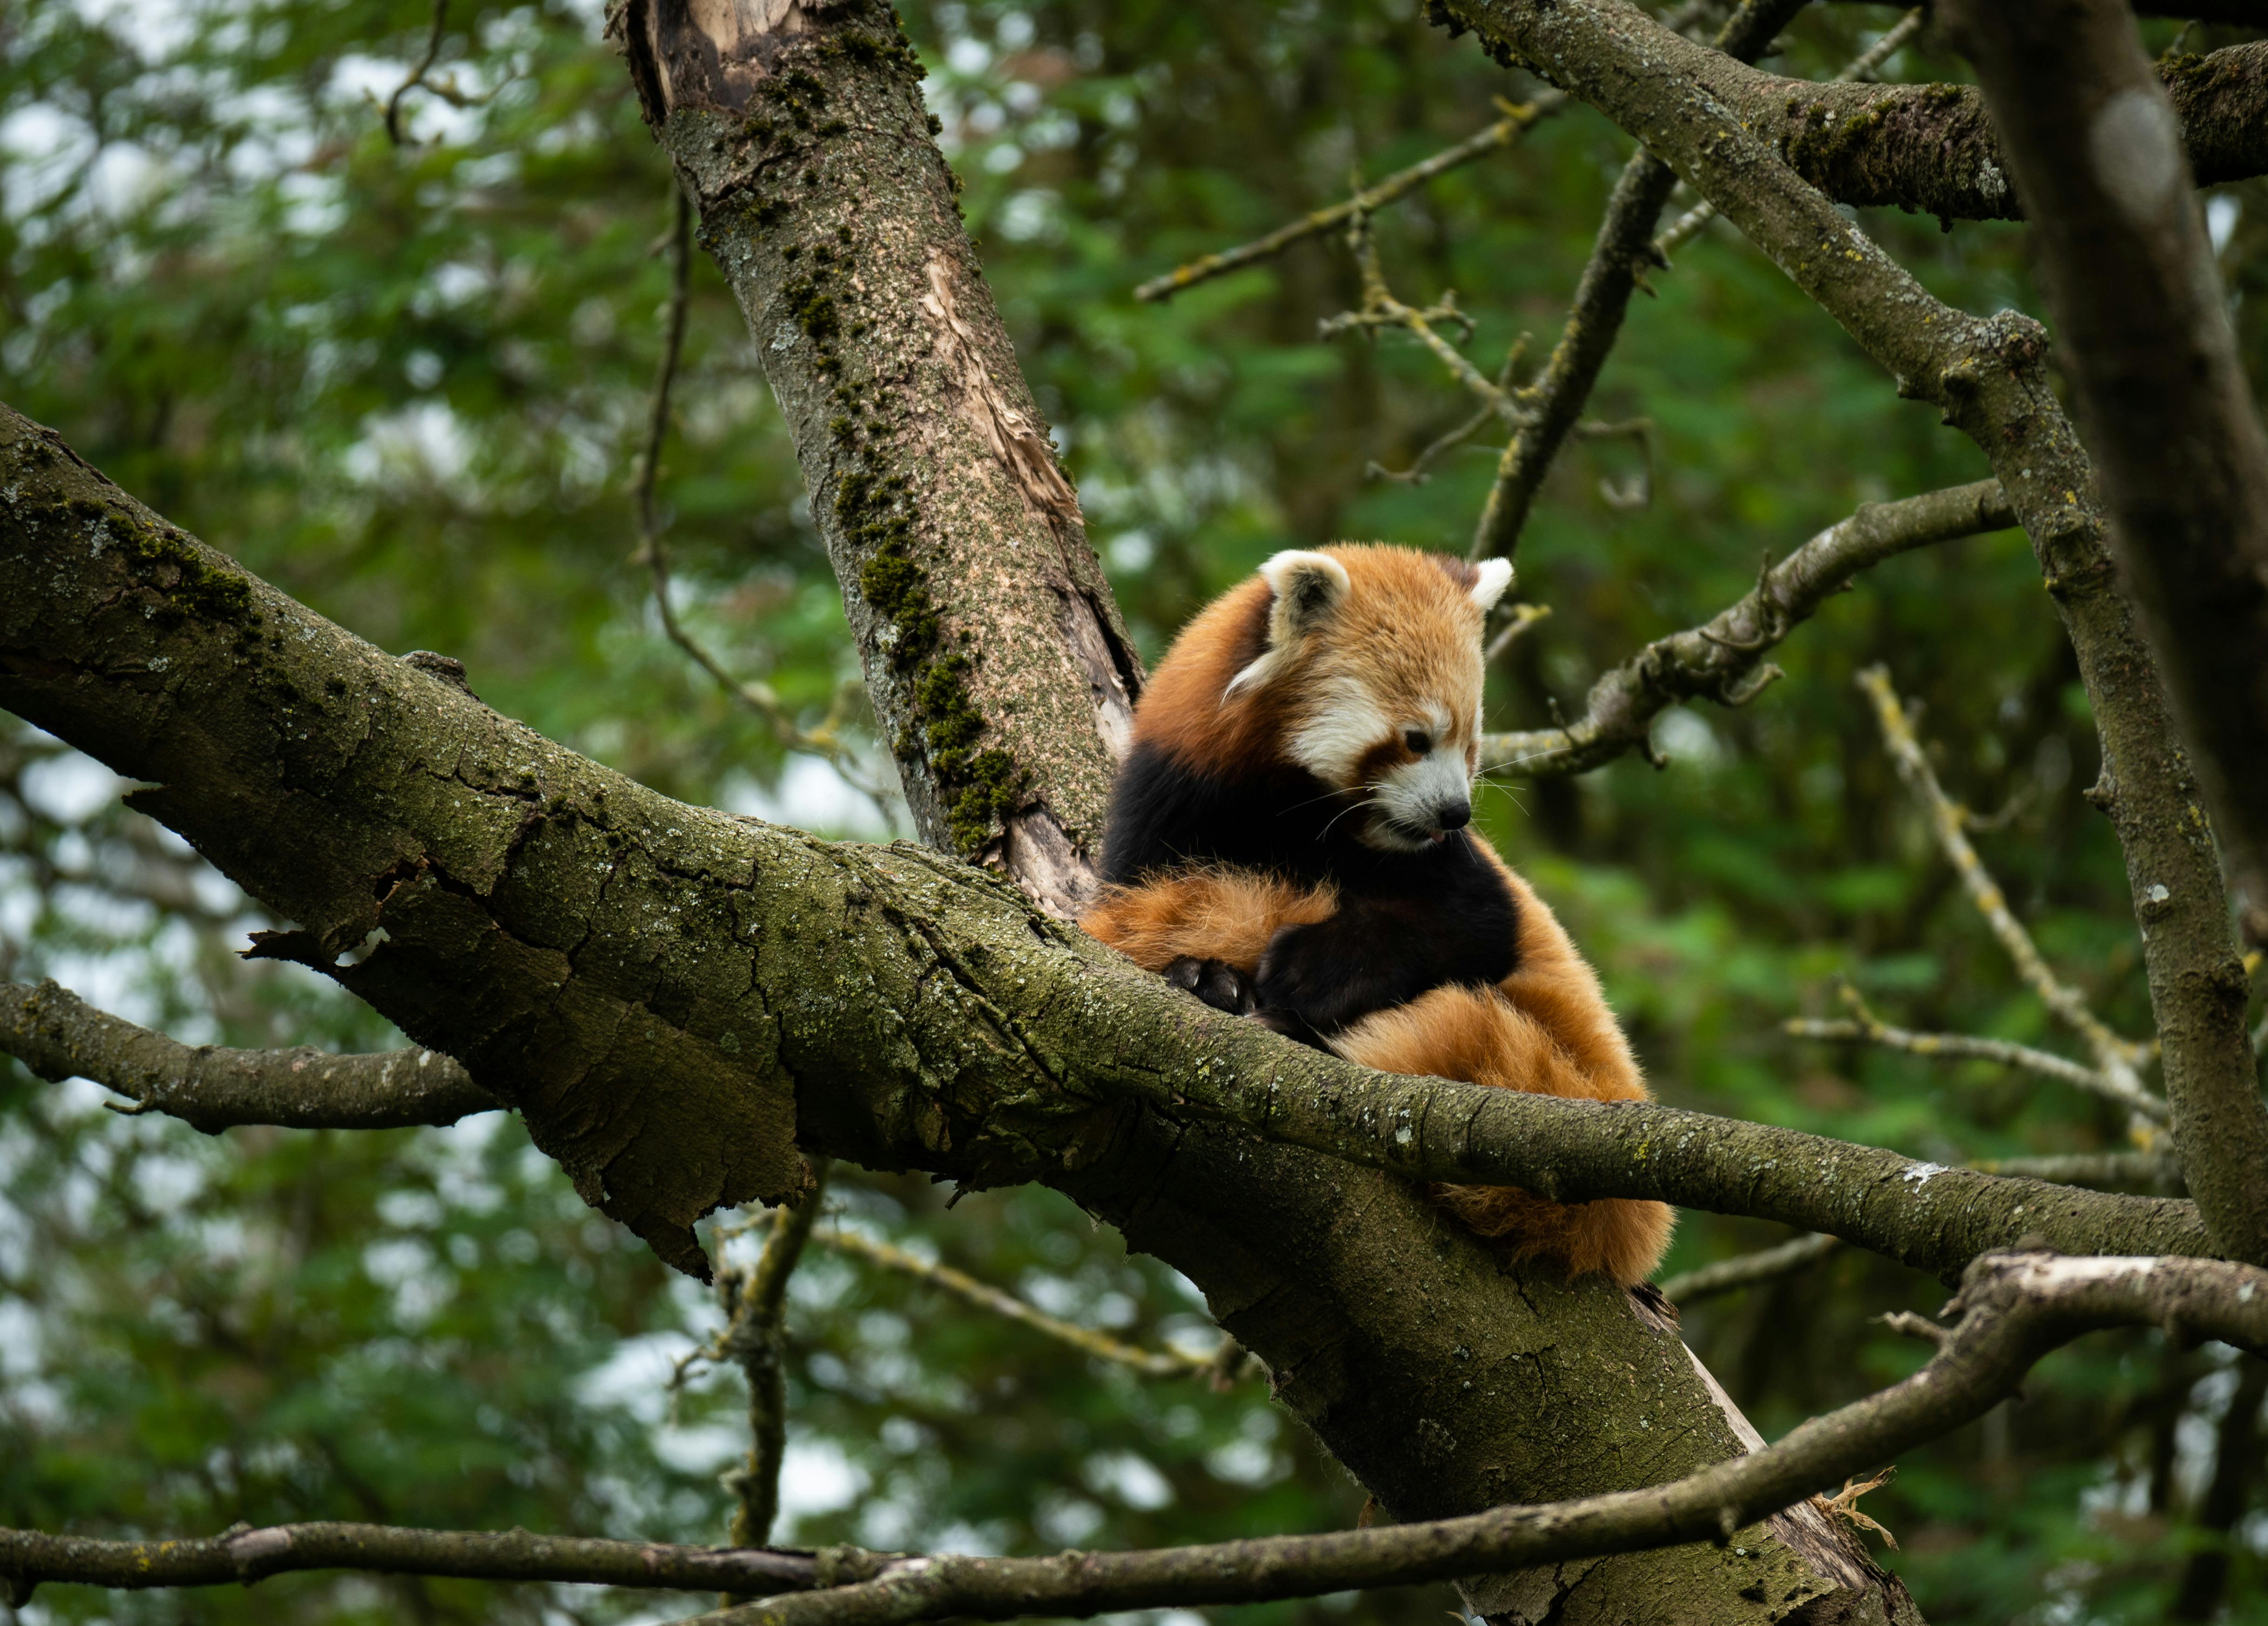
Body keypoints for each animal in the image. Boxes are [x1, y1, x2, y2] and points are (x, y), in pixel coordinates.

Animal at [1082, 545, 1674, 1286]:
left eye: (1470, 741)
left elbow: (1472, 925)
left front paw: (1304, 974)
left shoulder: (1461, 878)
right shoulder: (1166, 803)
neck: (1280, 808)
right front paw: (1203, 977)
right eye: (1416, 739)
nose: (1456, 813)